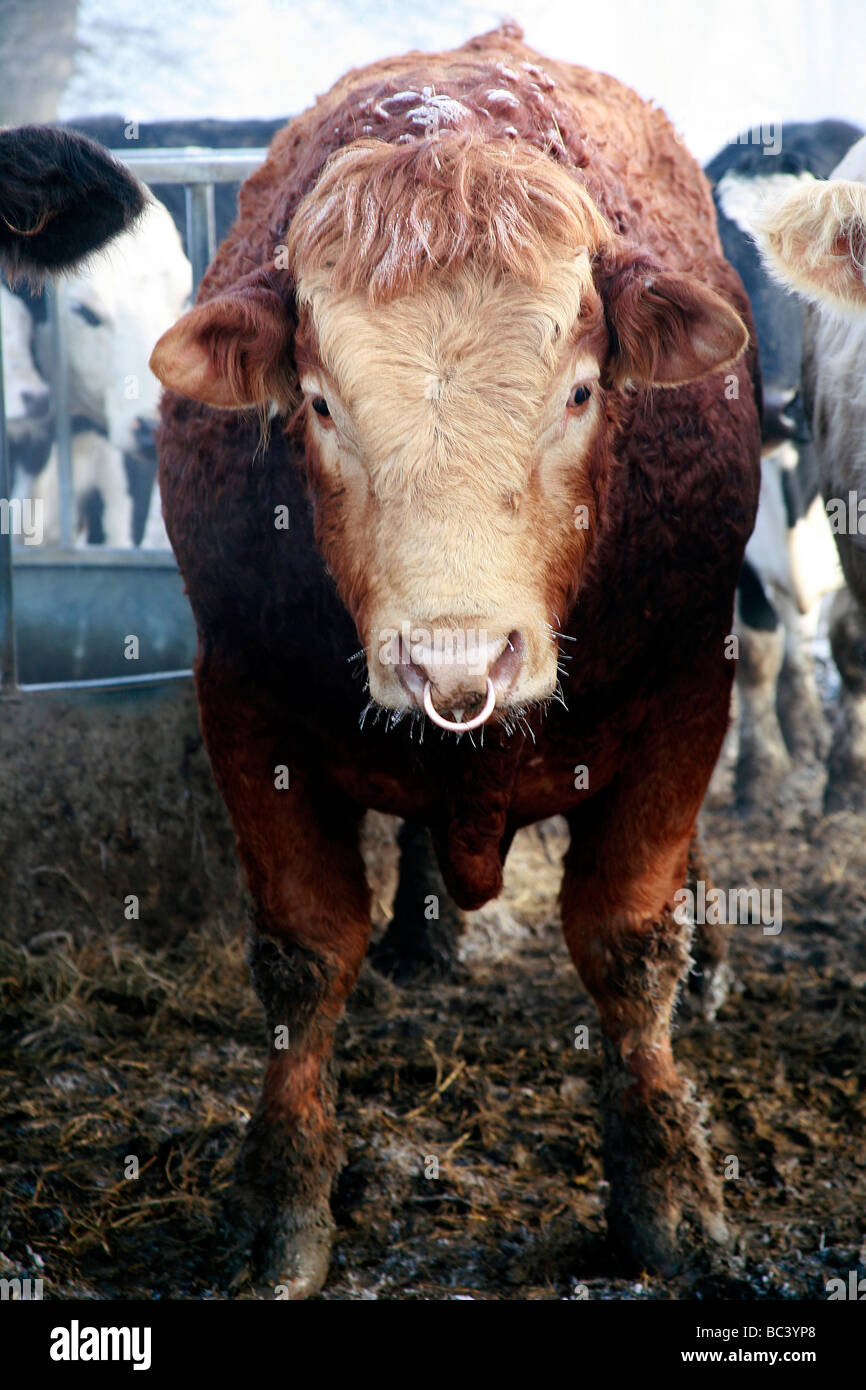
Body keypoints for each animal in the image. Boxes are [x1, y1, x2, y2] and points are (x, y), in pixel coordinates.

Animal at [150, 25, 761, 1295]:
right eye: (319, 405)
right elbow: (300, 953)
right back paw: (420, 935)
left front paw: (667, 1187)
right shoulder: (240, 695)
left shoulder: (687, 682)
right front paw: (279, 1197)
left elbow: (627, 940)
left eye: (577, 390)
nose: (453, 657)